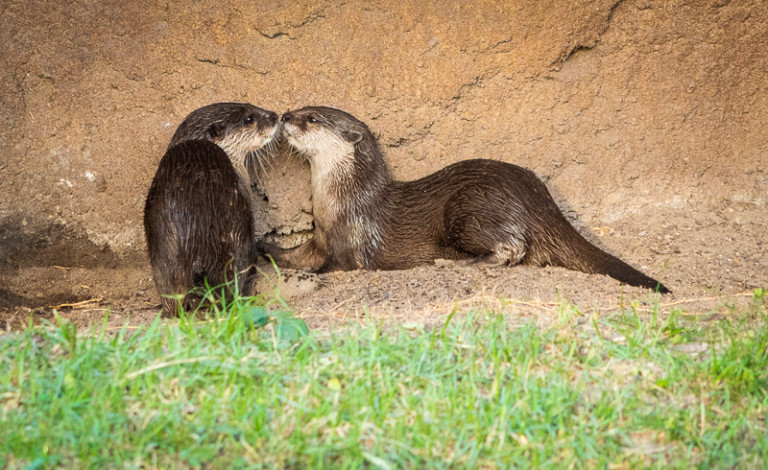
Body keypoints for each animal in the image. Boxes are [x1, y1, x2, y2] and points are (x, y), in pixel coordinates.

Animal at [275, 106, 670, 293]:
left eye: (312, 118)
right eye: (300, 108)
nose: (284, 115)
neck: (344, 202)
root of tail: (540, 202)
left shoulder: (352, 246)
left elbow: (331, 268)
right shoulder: (320, 238)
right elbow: (291, 254)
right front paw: (270, 251)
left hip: (471, 208)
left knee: (513, 248)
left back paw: (456, 264)